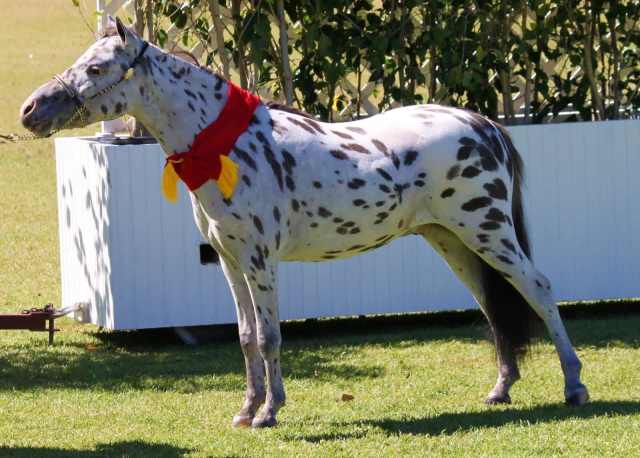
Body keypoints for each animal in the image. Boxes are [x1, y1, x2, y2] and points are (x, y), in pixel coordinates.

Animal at [20, 17, 589, 428]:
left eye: (97, 68)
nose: (30, 109)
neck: (230, 147)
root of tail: (484, 123)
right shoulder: (229, 260)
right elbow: (247, 336)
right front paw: (246, 410)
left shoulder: (260, 260)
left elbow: (271, 337)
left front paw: (269, 412)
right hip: (451, 240)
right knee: (493, 305)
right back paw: (501, 389)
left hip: (488, 231)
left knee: (538, 289)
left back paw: (574, 386)